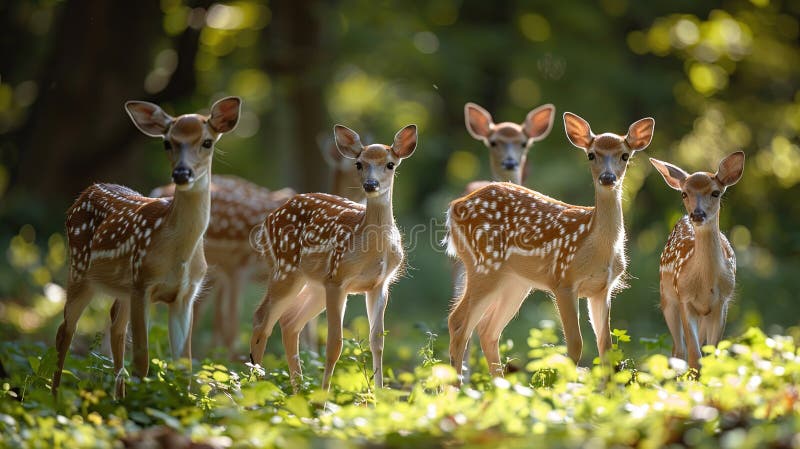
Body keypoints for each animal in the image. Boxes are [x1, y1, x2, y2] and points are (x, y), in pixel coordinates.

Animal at [52, 97, 241, 398]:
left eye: (207, 142)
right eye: (167, 142)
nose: (182, 173)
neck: (179, 254)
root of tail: (84, 193)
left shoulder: (185, 295)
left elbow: (185, 363)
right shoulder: (143, 283)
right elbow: (142, 357)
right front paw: (142, 402)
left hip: (121, 288)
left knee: (115, 327)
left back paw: (117, 397)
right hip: (80, 271)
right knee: (65, 331)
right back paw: (55, 396)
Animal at [249, 124, 417, 390]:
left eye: (390, 164)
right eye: (359, 163)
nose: (371, 184)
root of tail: (269, 219)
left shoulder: (379, 285)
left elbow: (377, 342)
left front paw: (380, 394)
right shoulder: (338, 279)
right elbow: (334, 345)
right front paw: (324, 397)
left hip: (313, 284)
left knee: (289, 322)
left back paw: (298, 390)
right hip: (285, 269)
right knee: (262, 319)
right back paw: (254, 388)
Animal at [445, 112, 654, 381]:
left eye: (625, 155)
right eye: (591, 154)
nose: (608, 178)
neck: (596, 248)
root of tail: (454, 207)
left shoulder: (602, 289)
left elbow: (606, 348)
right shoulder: (563, 281)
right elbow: (575, 345)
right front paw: (561, 386)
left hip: (514, 282)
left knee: (487, 329)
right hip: (484, 266)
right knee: (458, 322)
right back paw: (456, 386)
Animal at [649, 152, 745, 370]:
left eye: (716, 193)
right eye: (684, 193)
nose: (697, 214)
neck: (705, 282)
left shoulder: (721, 302)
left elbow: (711, 353)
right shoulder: (684, 297)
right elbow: (694, 355)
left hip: (704, 313)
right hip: (667, 298)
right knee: (678, 350)